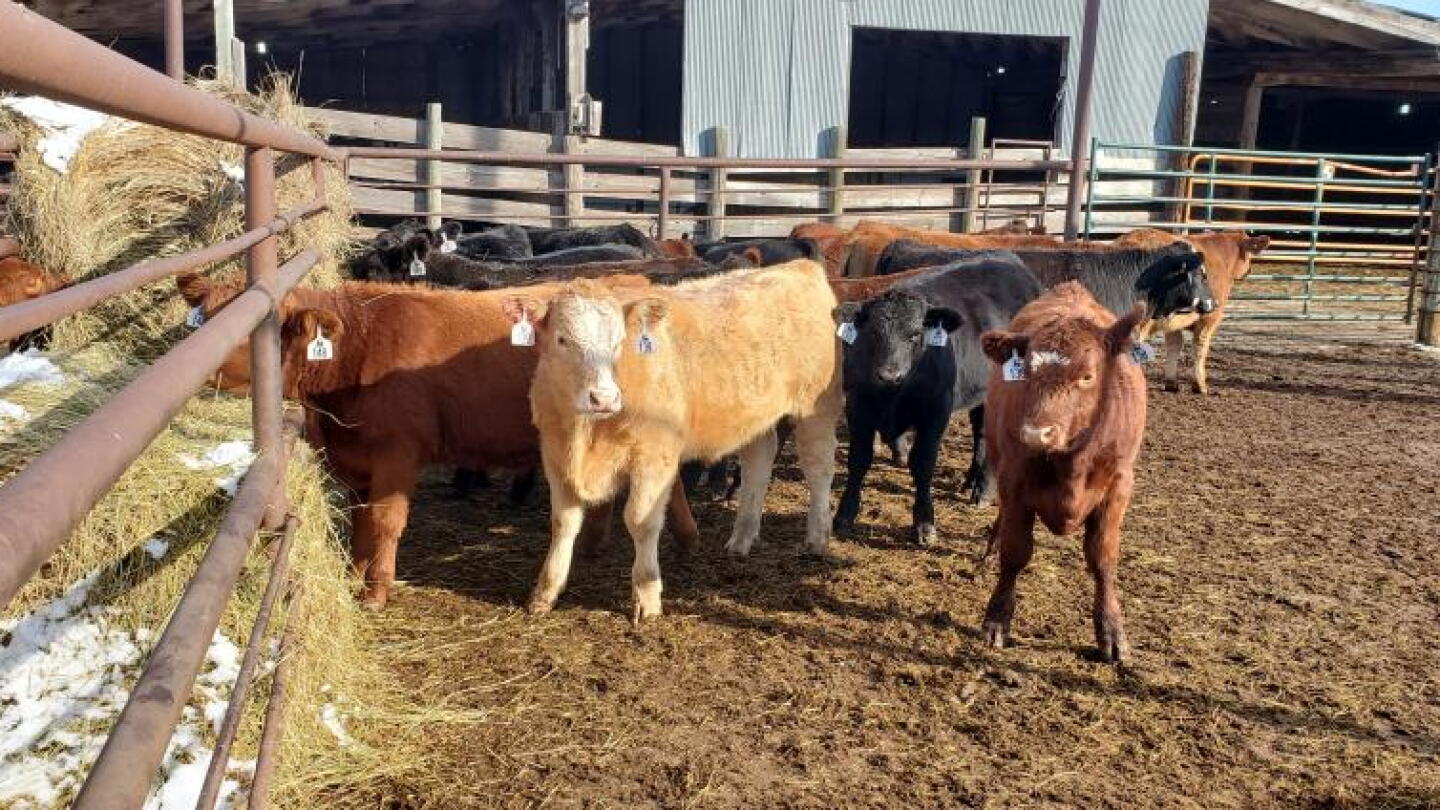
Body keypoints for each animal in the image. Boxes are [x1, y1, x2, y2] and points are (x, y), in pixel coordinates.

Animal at [175, 273, 699, 610]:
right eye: (203, 315)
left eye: (252, 330)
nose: (185, 356)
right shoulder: (354, 461)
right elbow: (360, 521)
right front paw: (353, 576)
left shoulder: (397, 454)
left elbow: (386, 521)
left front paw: (377, 591)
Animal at [508, 261, 843, 622]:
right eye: (562, 339)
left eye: (619, 342)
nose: (604, 398)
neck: (585, 432)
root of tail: (800, 266)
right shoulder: (555, 455)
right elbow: (563, 523)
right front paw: (545, 592)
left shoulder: (654, 457)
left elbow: (640, 520)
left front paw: (647, 597)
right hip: (755, 415)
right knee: (759, 460)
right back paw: (741, 540)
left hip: (817, 407)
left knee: (819, 467)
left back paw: (817, 538)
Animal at [832, 254, 1043, 542]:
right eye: (873, 333)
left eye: (915, 335)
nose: (889, 374)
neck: (892, 395)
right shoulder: (858, 407)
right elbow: (859, 460)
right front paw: (844, 514)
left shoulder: (935, 412)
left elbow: (922, 463)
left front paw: (924, 522)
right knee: (980, 430)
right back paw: (971, 479)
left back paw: (983, 490)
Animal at [979, 282, 1148, 663]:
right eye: (1025, 372)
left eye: (1087, 376)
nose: (1034, 434)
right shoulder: (1014, 480)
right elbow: (1015, 551)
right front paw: (997, 619)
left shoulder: (1119, 485)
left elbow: (1103, 559)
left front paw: (1111, 631)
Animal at [1114, 229, 1270, 394]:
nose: (1249, 270)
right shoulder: (1210, 317)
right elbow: (1200, 347)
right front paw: (1200, 385)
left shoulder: (1172, 322)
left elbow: (1175, 345)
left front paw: (1171, 383)